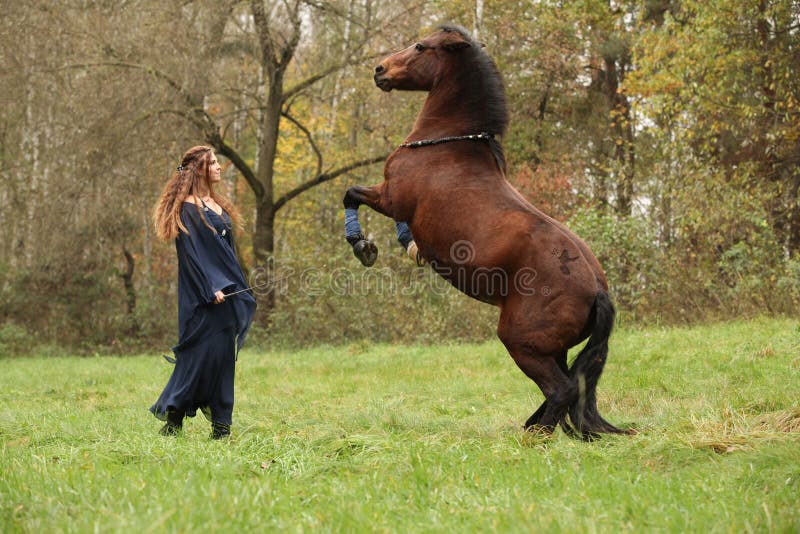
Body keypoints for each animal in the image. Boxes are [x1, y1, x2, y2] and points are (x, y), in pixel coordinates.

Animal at [343, 25, 631, 439]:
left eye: (420, 46)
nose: (380, 70)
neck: (443, 144)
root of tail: (598, 290)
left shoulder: (391, 197)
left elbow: (351, 193)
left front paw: (362, 245)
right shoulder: (396, 203)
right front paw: (409, 247)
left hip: (521, 340)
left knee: (561, 390)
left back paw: (534, 438)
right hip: (552, 347)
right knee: (570, 387)